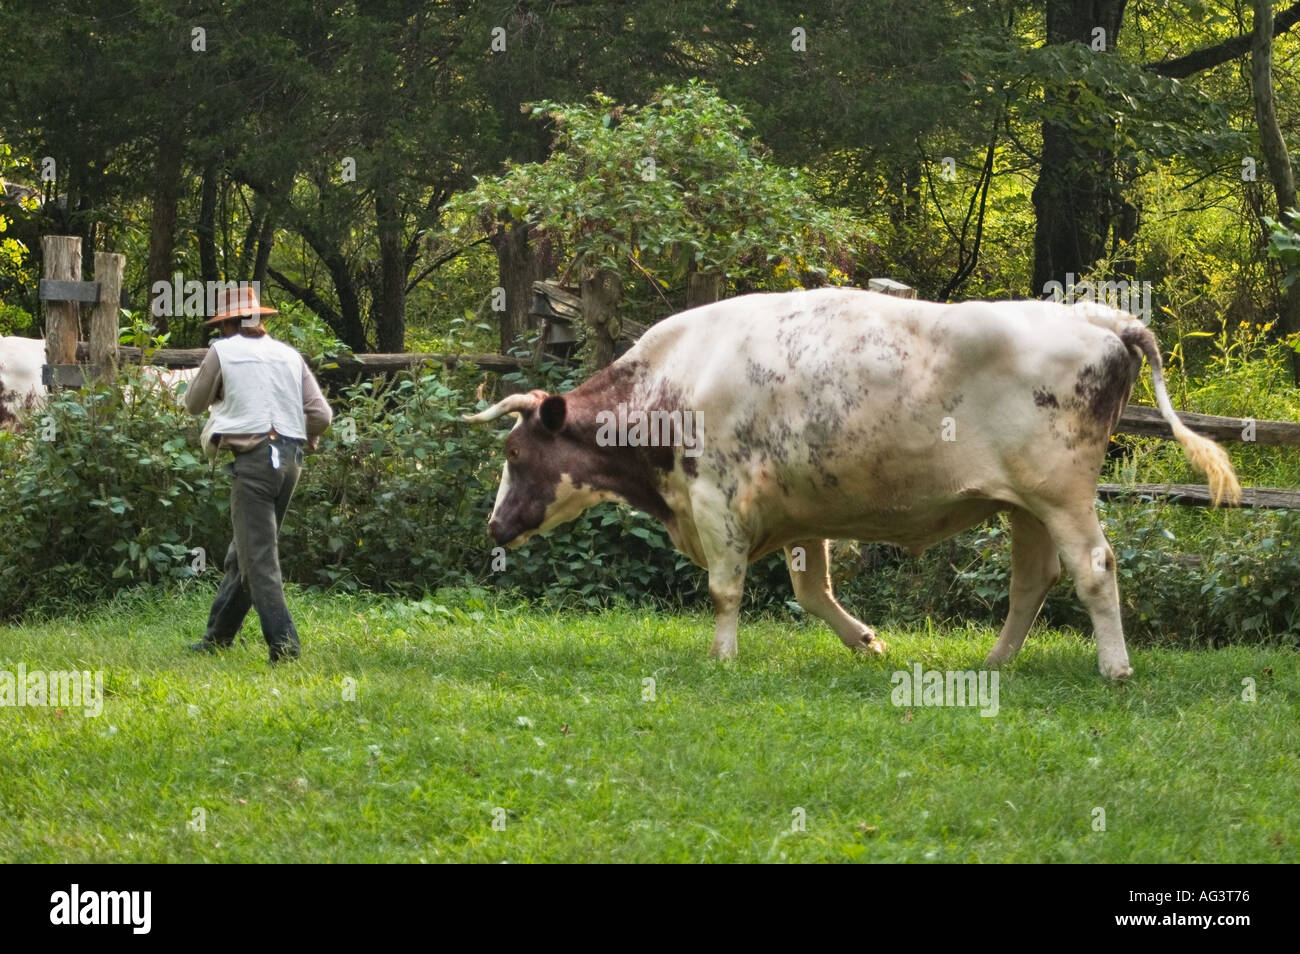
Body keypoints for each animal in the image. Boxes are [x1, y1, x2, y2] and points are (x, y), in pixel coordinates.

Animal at [466, 288, 1240, 679]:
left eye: (515, 452)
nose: (494, 526)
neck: (676, 378)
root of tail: (1096, 313)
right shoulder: (802, 512)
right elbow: (813, 592)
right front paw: (867, 642)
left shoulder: (718, 498)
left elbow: (724, 589)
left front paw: (723, 656)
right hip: (1023, 503)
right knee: (1034, 580)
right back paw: (997, 659)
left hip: (1063, 493)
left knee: (1095, 568)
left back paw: (1115, 667)